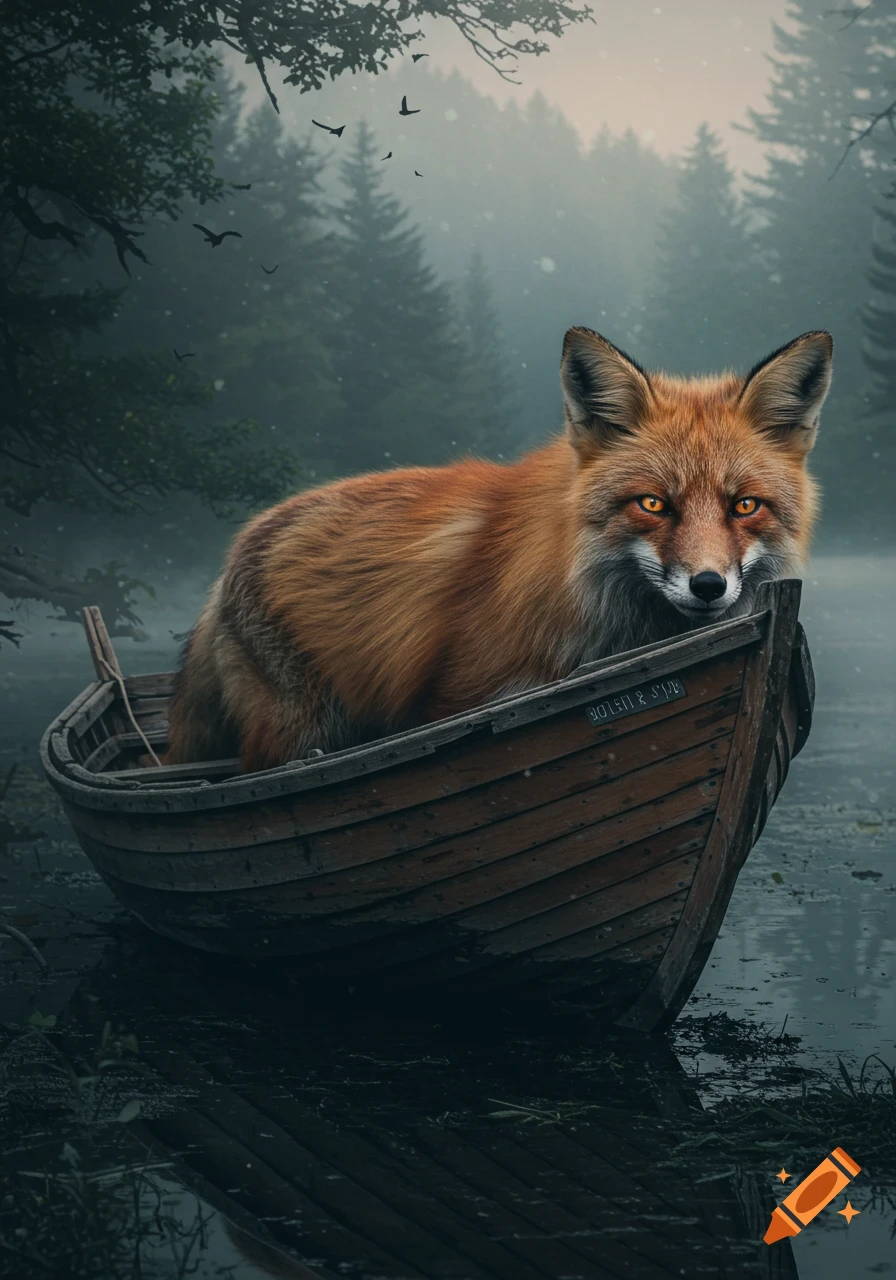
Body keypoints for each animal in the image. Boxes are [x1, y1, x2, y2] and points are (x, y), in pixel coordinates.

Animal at [165, 326, 833, 773]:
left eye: (743, 506)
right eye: (652, 504)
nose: (708, 585)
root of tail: (230, 556)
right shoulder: (453, 701)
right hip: (298, 734)